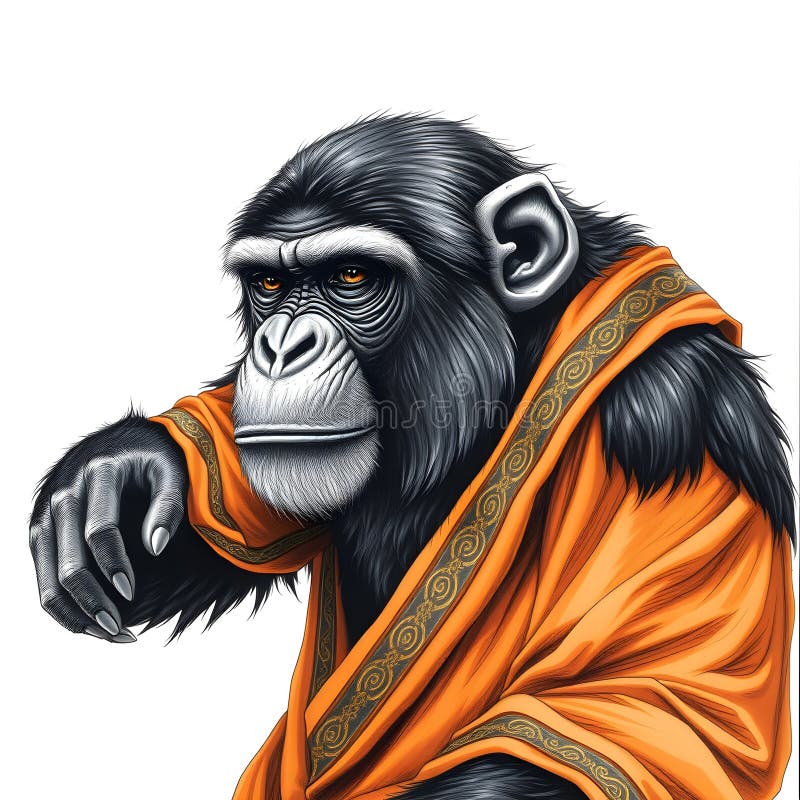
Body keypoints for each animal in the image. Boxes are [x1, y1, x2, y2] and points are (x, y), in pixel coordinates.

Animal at [30, 115, 795, 800]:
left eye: (350, 275)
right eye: (269, 287)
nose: (280, 347)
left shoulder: (665, 424)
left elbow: (621, 706)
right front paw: (118, 471)